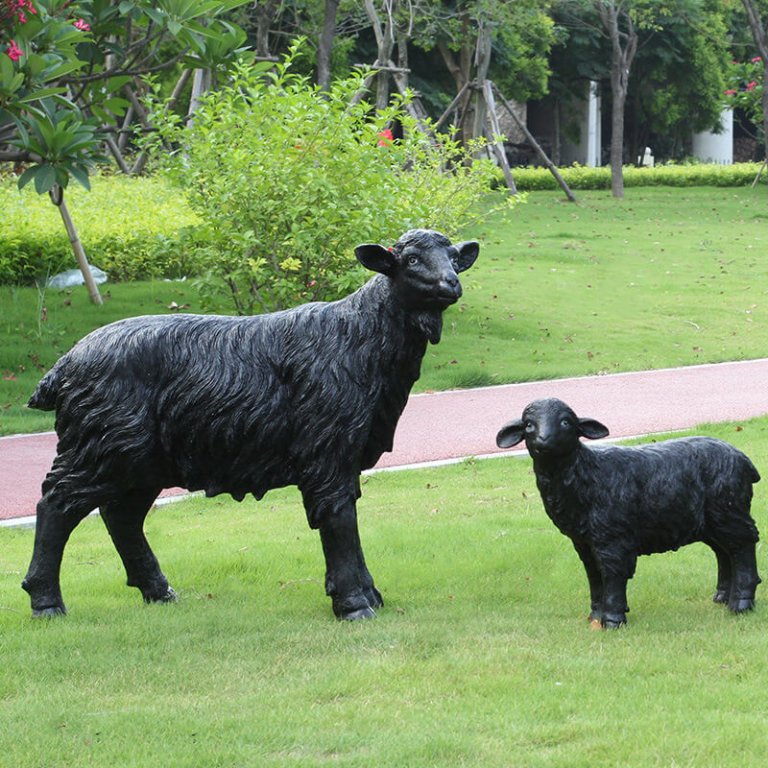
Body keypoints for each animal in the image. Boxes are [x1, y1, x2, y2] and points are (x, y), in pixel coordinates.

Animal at [23, 228, 479, 621]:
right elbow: (337, 519)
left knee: (121, 516)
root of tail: (65, 364)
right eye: (412, 259)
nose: (451, 284)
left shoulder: (347, 452)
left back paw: (159, 592)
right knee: (57, 505)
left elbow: (345, 516)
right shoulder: (326, 448)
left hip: (137, 458)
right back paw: (47, 603)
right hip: (100, 445)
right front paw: (354, 604)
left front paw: (369, 594)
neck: (361, 336)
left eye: (453, 257)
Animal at [496, 397, 761, 628]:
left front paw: (613, 620)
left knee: (743, 546)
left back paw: (741, 603)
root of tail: (743, 458)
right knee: (724, 551)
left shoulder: (612, 537)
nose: (544, 441)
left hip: (729, 511)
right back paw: (723, 597)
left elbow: (612, 575)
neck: (586, 473)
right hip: (711, 521)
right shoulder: (584, 542)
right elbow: (594, 576)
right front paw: (595, 617)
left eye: (565, 422)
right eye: (529, 425)